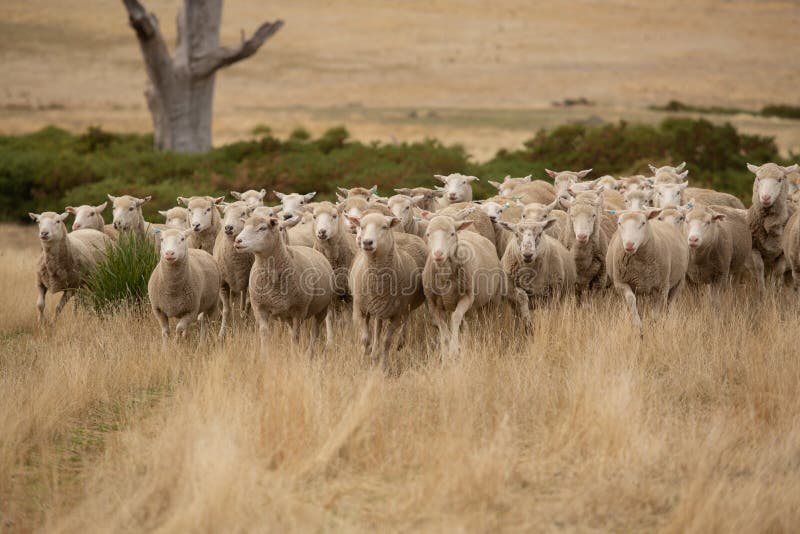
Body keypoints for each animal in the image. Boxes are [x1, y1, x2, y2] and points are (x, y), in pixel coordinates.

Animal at [213, 201, 255, 338]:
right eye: (225, 213)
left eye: (243, 213)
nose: (228, 228)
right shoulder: (223, 284)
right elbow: (226, 310)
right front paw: (222, 333)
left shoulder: (250, 283)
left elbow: (247, 304)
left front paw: (246, 327)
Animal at [235, 214, 334, 357]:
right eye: (244, 226)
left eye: (262, 228)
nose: (237, 241)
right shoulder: (259, 308)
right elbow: (264, 333)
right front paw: (264, 356)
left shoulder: (299, 310)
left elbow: (296, 336)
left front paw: (294, 356)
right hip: (287, 314)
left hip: (321, 308)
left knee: (314, 332)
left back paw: (309, 353)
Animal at [346, 213, 427, 367]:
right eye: (362, 226)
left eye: (384, 227)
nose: (367, 242)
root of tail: (402, 234)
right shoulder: (360, 310)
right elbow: (365, 339)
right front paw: (365, 358)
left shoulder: (396, 314)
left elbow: (386, 341)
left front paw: (383, 366)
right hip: (378, 308)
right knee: (378, 328)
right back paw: (374, 353)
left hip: (403, 307)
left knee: (405, 320)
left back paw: (399, 343)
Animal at [423, 215, 504, 359]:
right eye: (428, 234)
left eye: (452, 233)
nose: (438, 254)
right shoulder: (433, 305)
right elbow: (444, 331)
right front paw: (445, 357)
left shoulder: (467, 297)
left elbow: (455, 318)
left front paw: (454, 350)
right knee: (467, 326)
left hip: (493, 299)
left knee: (488, 323)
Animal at [746, 162, 799, 292]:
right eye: (758, 178)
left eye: (780, 179)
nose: (765, 198)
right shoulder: (754, 249)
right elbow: (759, 268)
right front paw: (762, 292)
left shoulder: (782, 254)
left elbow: (778, 273)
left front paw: (775, 292)